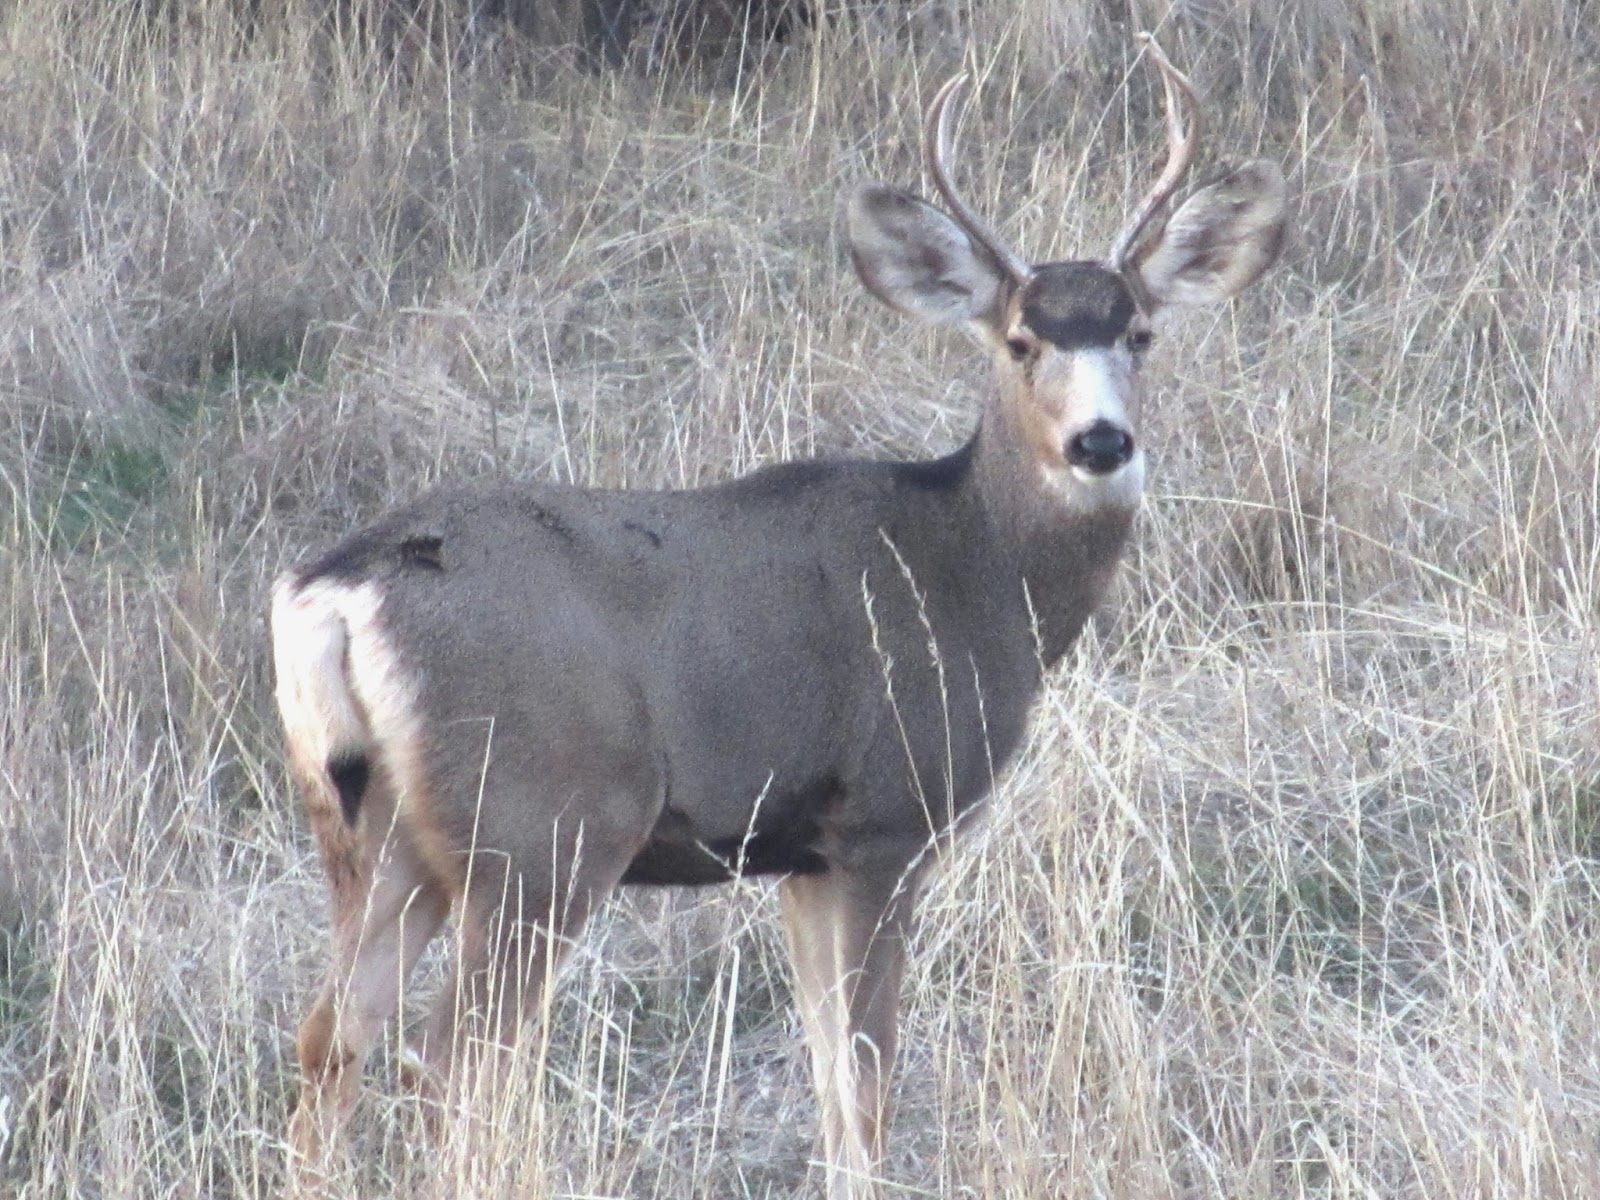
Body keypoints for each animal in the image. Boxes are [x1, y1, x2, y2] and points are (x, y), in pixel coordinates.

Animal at [270, 36, 1287, 1199]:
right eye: (1022, 340)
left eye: (1141, 333)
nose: (1101, 443)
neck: (973, 572)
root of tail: (334, 590)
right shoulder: (884, 817)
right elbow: (869, 1076)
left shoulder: (798, 848)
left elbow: (829, 1077)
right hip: (538, 825)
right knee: (452, 1060)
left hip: (376, 832)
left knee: (330, 1035)